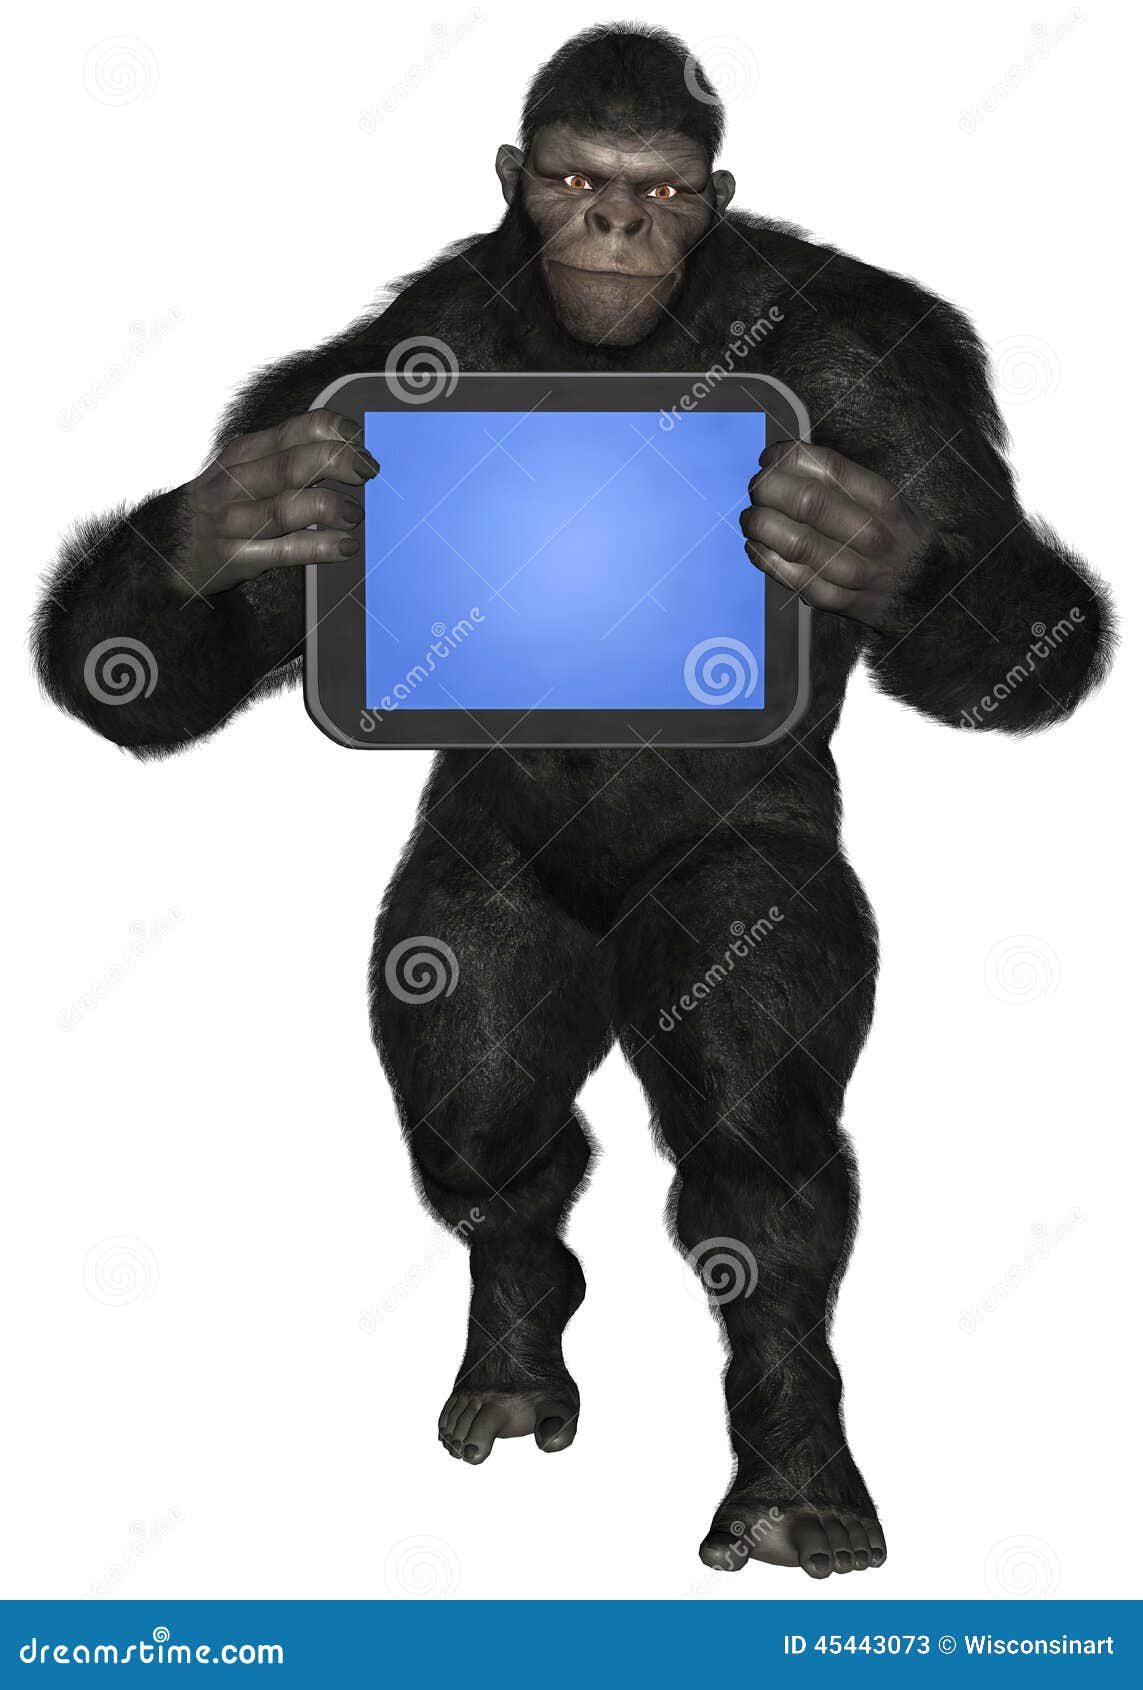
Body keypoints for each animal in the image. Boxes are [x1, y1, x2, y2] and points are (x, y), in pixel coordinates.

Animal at [33, 24, 1113, 1578]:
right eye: (570, 175)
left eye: (658, 189)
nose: (610, 225)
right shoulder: (350, 374)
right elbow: (185, 653)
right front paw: (226, 527)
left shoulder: (886, 374)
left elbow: (1001, 607)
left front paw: (879, 551)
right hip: (475, 895)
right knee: (483, 1112)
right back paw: (515, 1340)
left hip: (735, 904)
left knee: (753, 1146)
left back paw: (792, 1477)